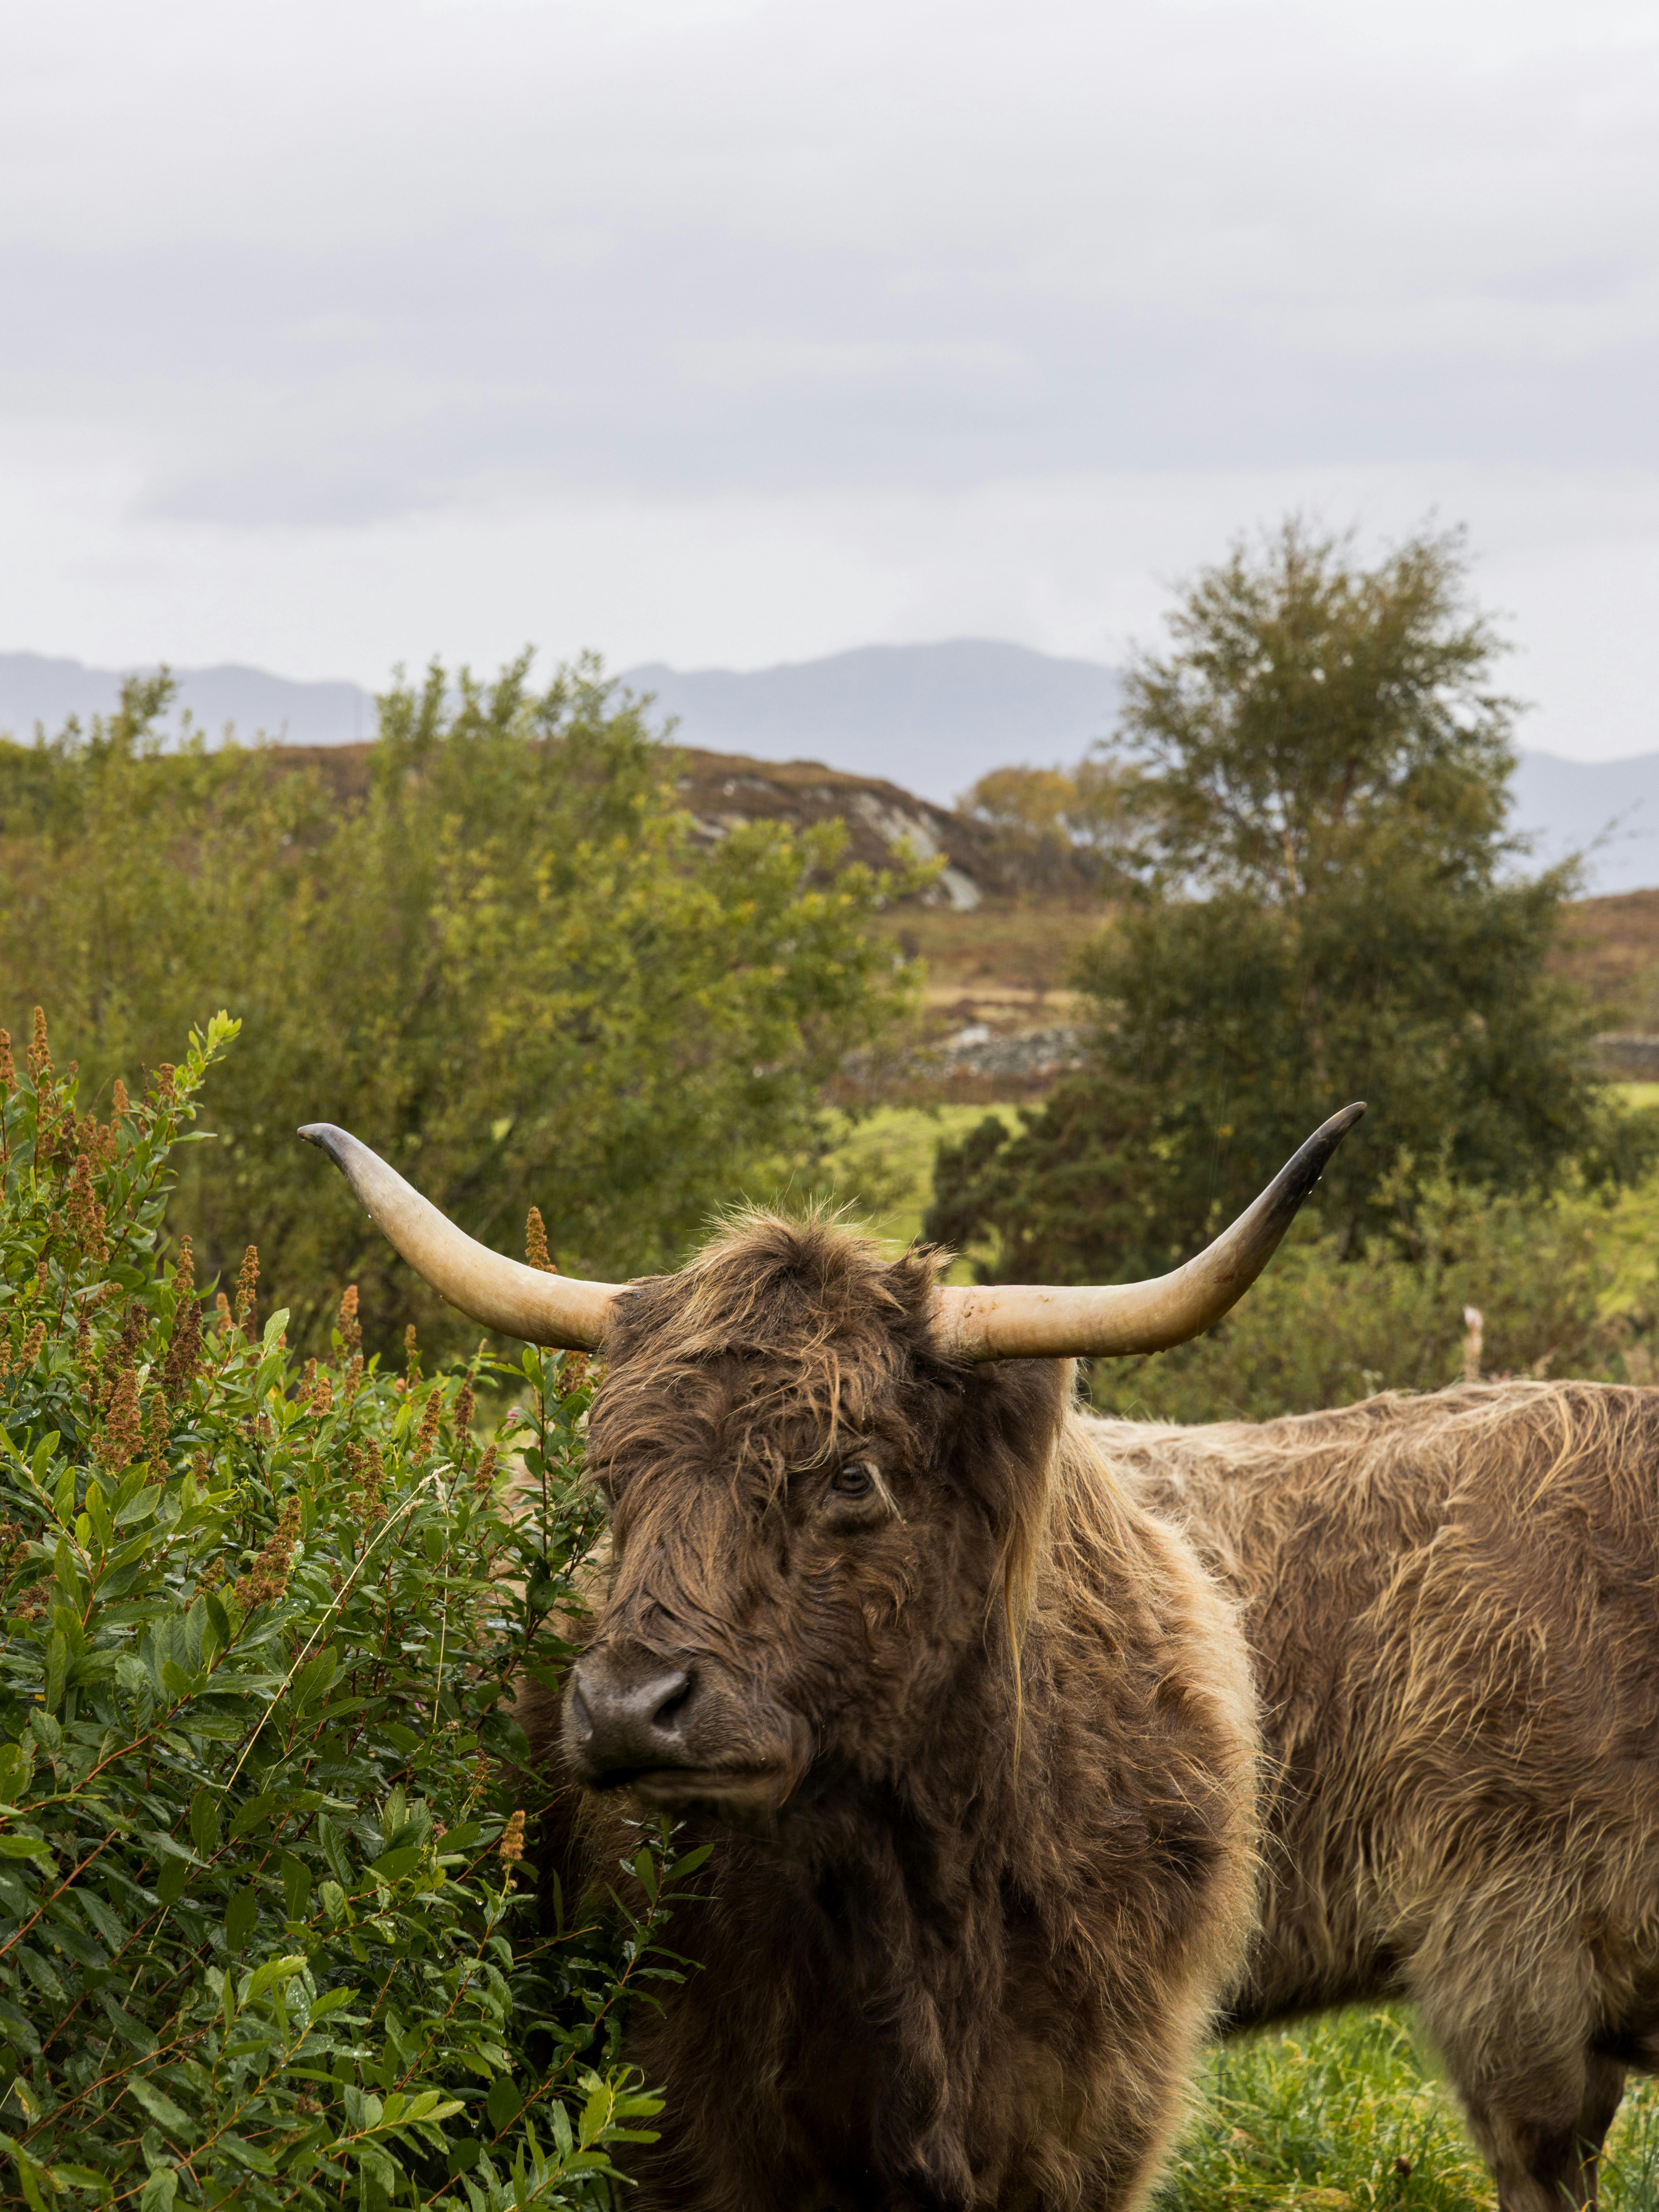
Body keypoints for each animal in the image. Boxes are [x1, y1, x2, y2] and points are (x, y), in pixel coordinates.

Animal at [299, 1105, 1362, 2212]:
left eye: (853, 1475)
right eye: (612, 1476)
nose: (629, 1707)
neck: (927, 1870)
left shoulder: (1094, 2126)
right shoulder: (687, 2117)